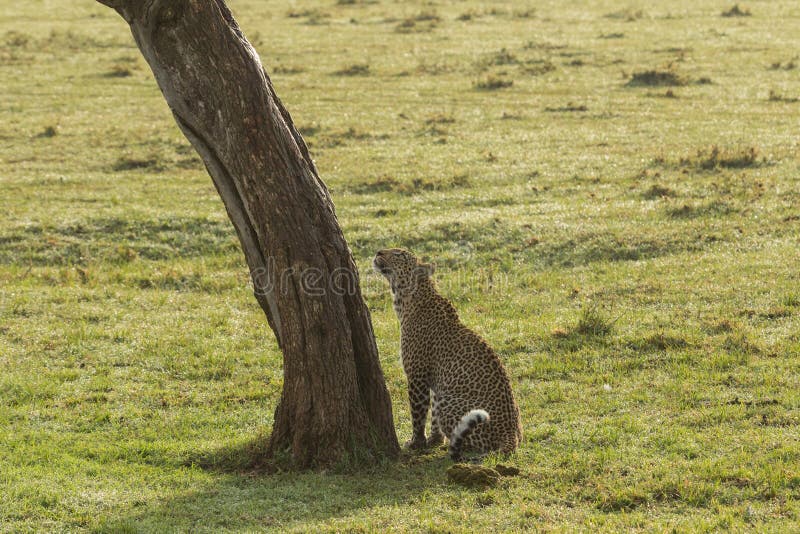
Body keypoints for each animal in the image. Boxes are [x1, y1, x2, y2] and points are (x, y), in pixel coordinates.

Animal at [373, 247, 523, 461]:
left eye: (399, 254)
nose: (378, 252)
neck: (406, 300)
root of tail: (511, 434)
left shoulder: (417, 375)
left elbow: (418, 412)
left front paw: (416, 443)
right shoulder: (436, 382)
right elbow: (433, 413)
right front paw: (434, 439)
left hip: (452, 405)